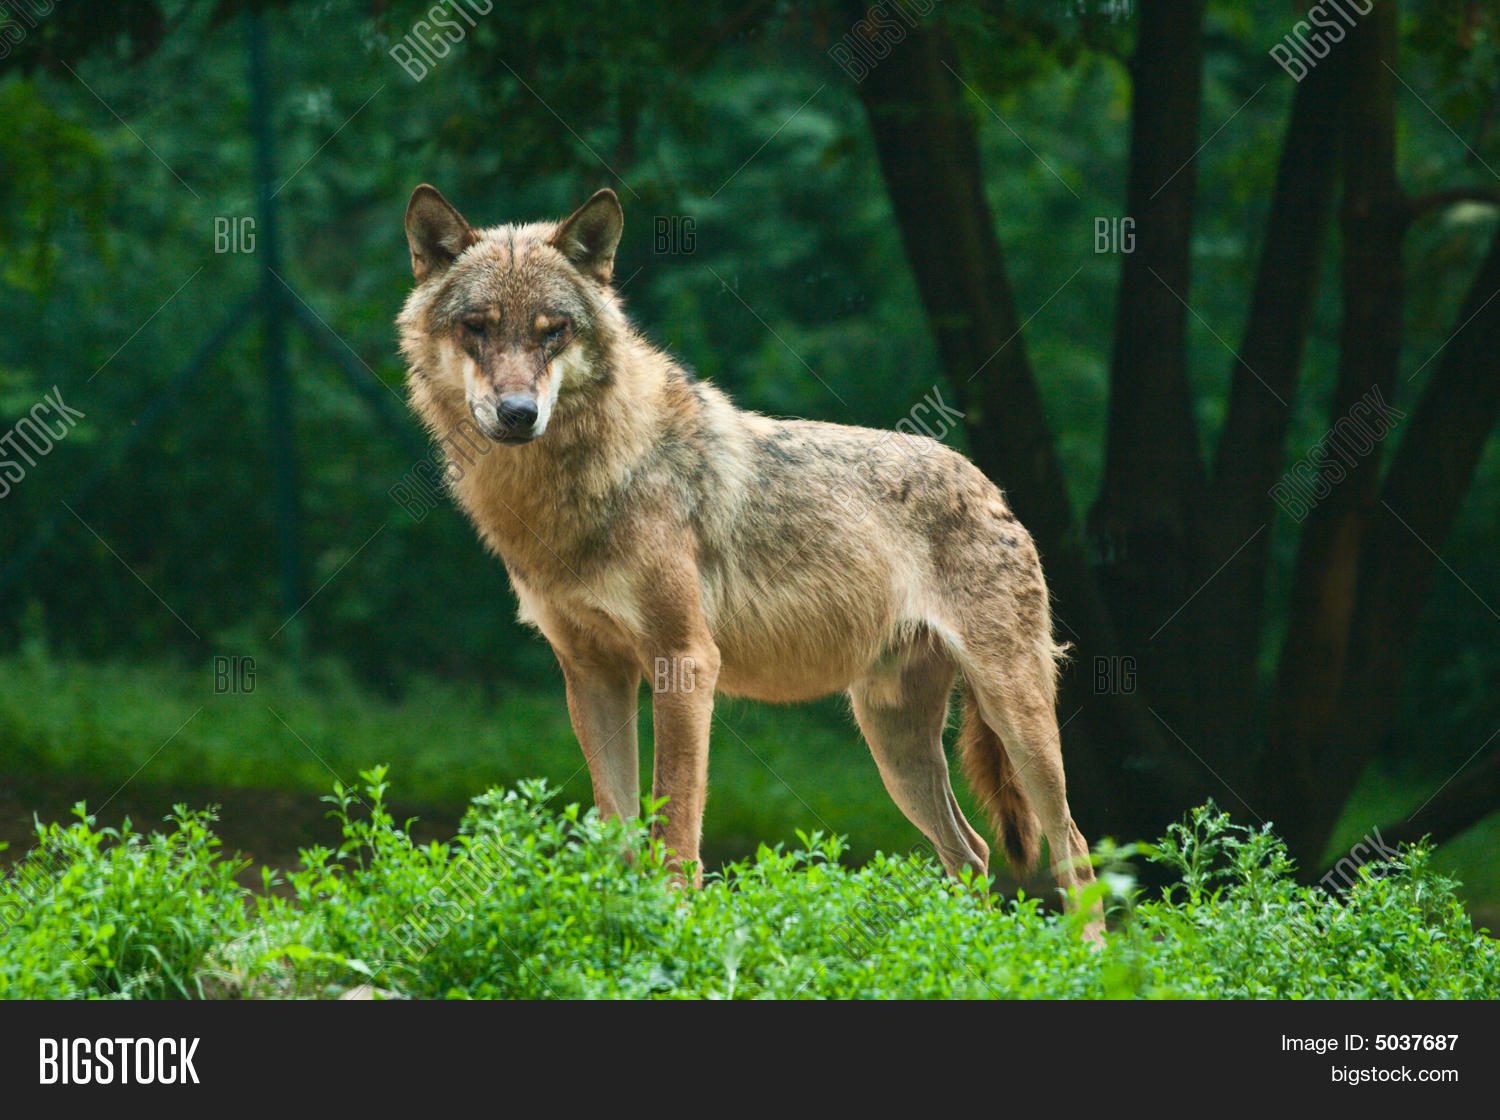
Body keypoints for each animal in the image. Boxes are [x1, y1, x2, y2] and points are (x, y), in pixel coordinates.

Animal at [397, 185, 1100, 927]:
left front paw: (675, 928)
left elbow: (674, 827)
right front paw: (624, 926)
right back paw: (962, 947)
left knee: (1074, 847)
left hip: (1013, 714)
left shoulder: (683, 662)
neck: (576, 487)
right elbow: (619, 829)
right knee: (972, 852)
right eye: (477, 326)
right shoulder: (591, 673)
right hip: (894, 741)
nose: (518, 412)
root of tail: (989, 485)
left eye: (552, 330)